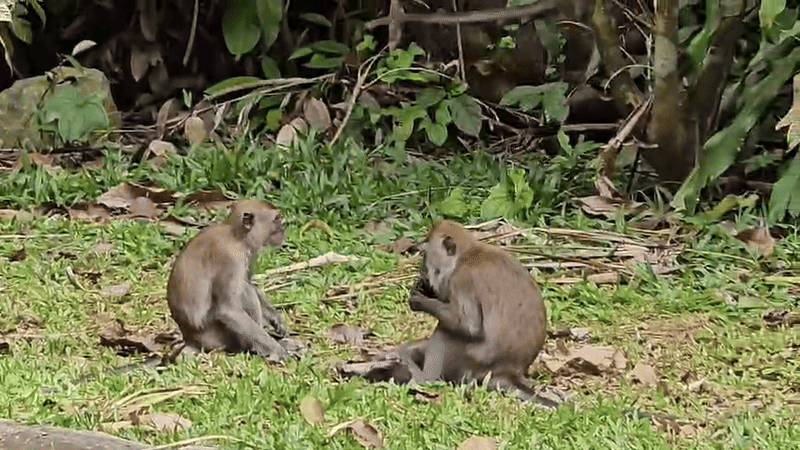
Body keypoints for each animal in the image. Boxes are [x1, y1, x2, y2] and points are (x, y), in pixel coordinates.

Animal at [166, 199, 290, 362]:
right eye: (277, 218)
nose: (283, 230)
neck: (237, 236)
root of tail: (191, 340)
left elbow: (249, 281)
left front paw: (276, 319)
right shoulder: (231, 259)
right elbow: (229, 310)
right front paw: (278, 349)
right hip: (219, 336)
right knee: (244, 291)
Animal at [392, 220, 556, 407]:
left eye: (425, 254)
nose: (422, 272)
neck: (465, 254)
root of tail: (510, 372)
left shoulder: (462, 279)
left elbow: (470, 325)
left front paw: (419, 300)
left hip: (472, 363)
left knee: (446, 331)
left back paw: (425, 378)